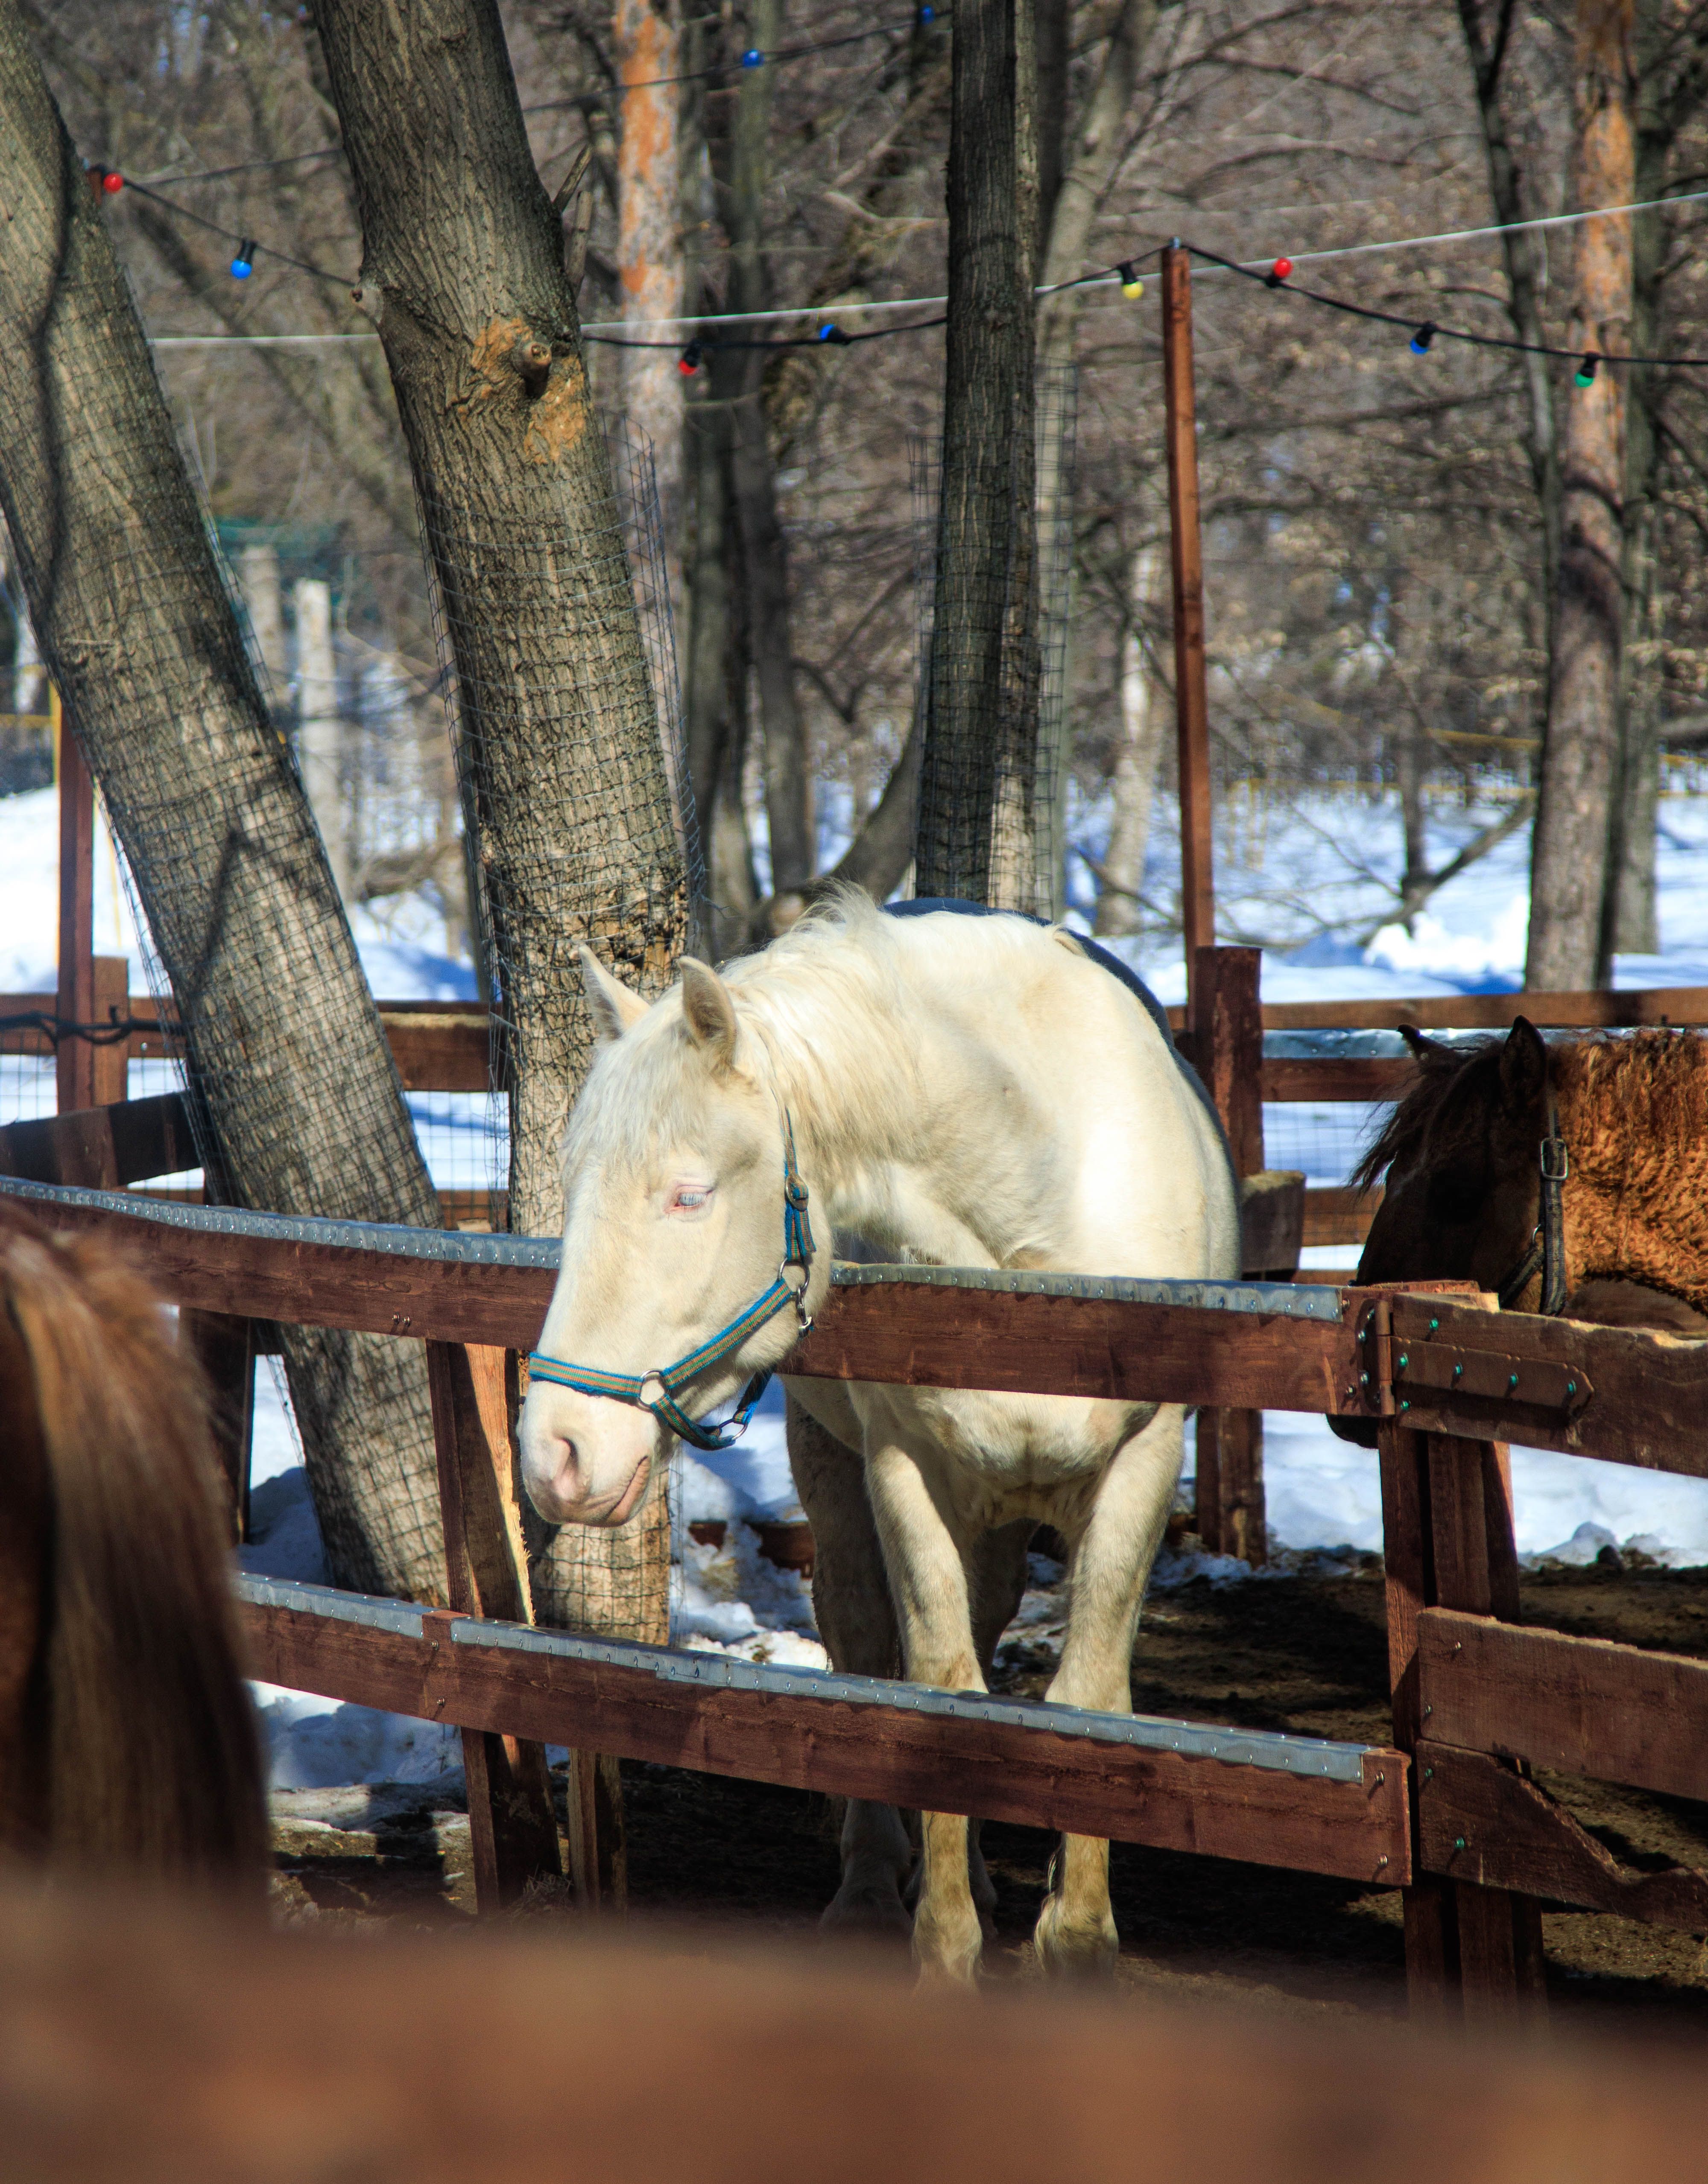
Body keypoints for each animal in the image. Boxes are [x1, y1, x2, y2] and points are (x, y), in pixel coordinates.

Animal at [517, 892, 1238, 1982]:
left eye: (689, 1192)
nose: (556, 1451)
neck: (1041, 1196)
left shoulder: (1144, 1461)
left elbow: (1085, 1690)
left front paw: (1073, 1937)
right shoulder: (906, 1468)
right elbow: (935, 1691)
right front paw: (942, 1943)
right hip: (843, 1463)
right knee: (862, 1639)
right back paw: (870, 1884)